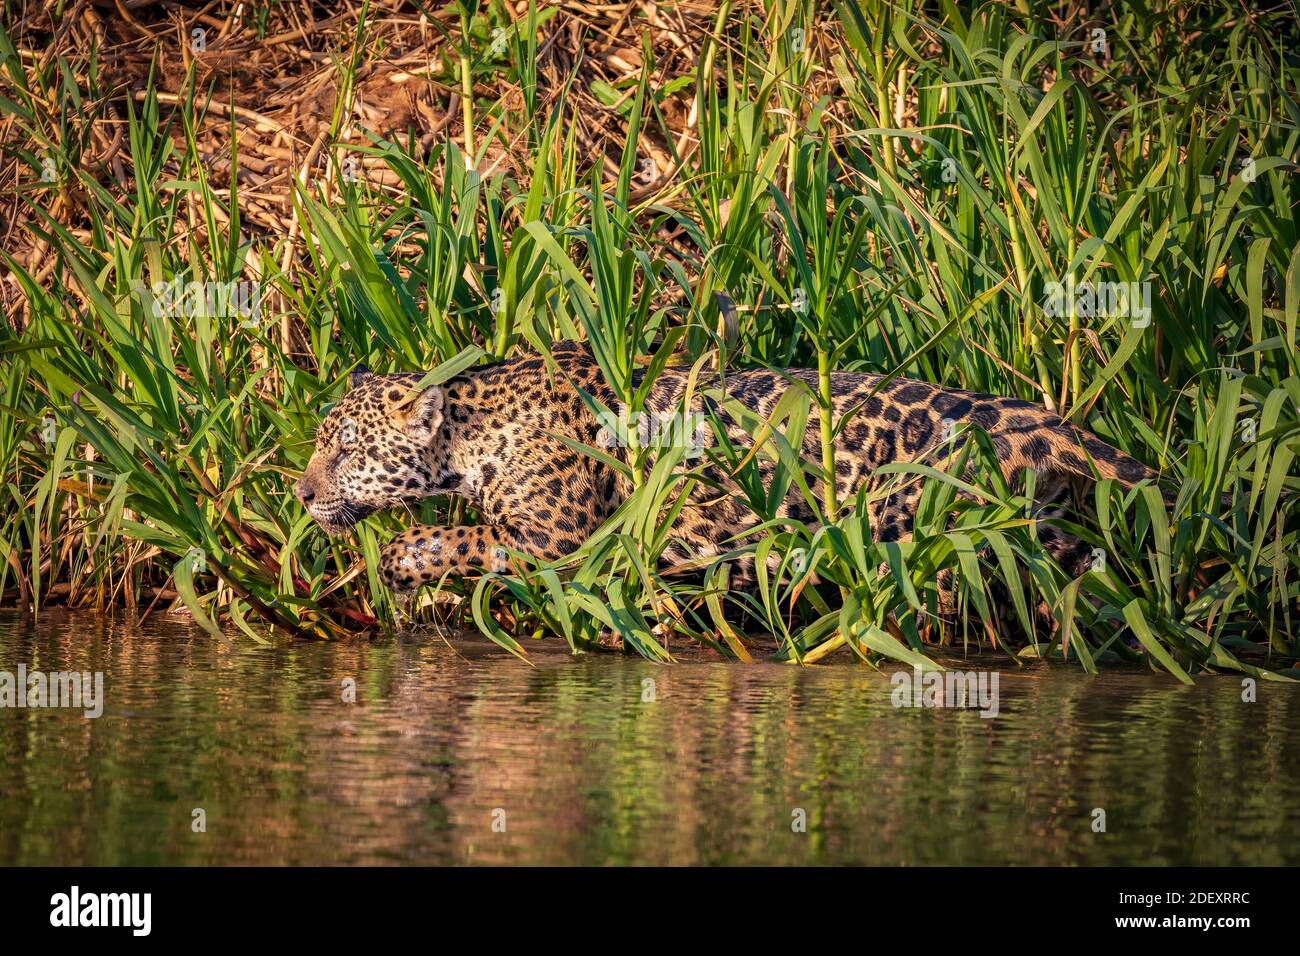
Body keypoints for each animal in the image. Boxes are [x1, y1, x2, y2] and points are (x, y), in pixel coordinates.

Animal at [295, 341, 1163, 600]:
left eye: (345, 450)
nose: (300, 492)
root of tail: (1022, 415)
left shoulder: (559, 540)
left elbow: (464, 541)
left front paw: (403, 559)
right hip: (1037, 529)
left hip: (923, 531)